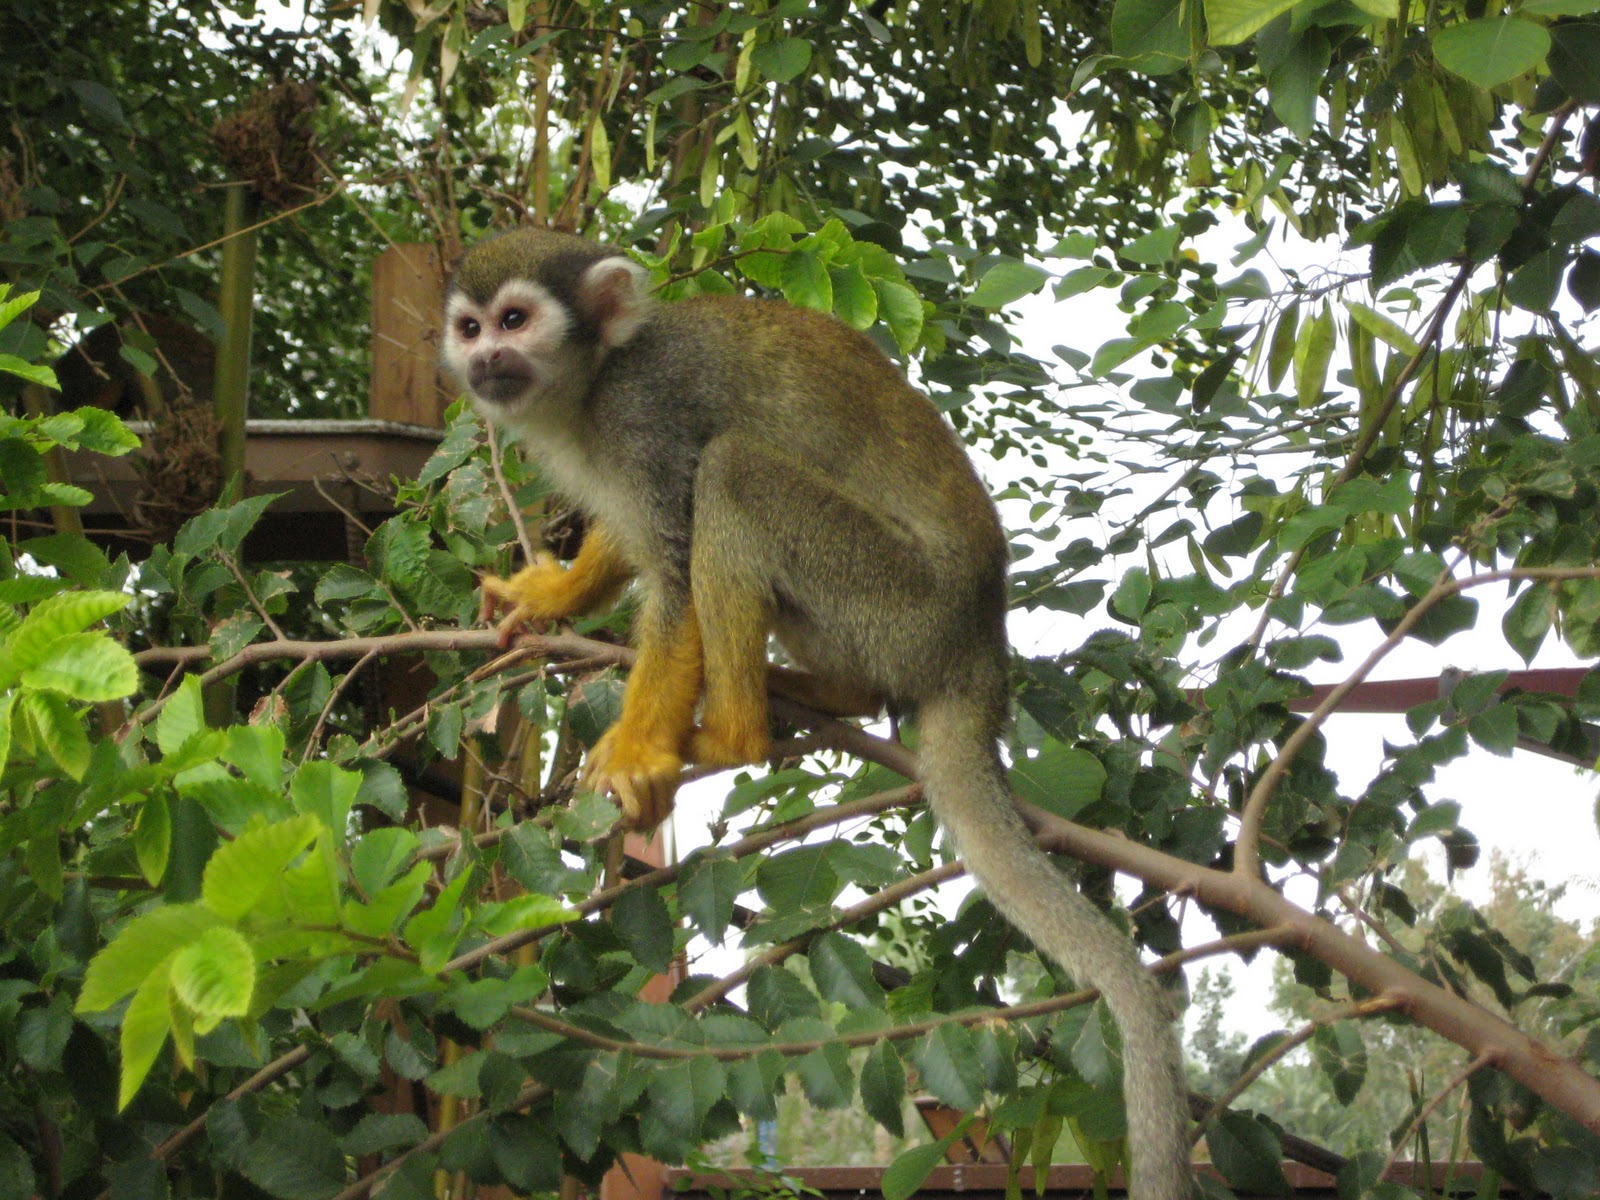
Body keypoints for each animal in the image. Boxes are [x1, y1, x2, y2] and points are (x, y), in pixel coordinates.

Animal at [439, 227, 1193, 1200]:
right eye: (470, 326)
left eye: (516, 320)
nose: (483, 359)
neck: (593, 381)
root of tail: (979, 648)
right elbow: (632, 543)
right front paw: (552, 595)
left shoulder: (647, 418)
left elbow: (674, 568)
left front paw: (639, 749)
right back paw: (831, 697)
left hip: (892, 597)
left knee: (732, 472)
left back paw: (733, 730)